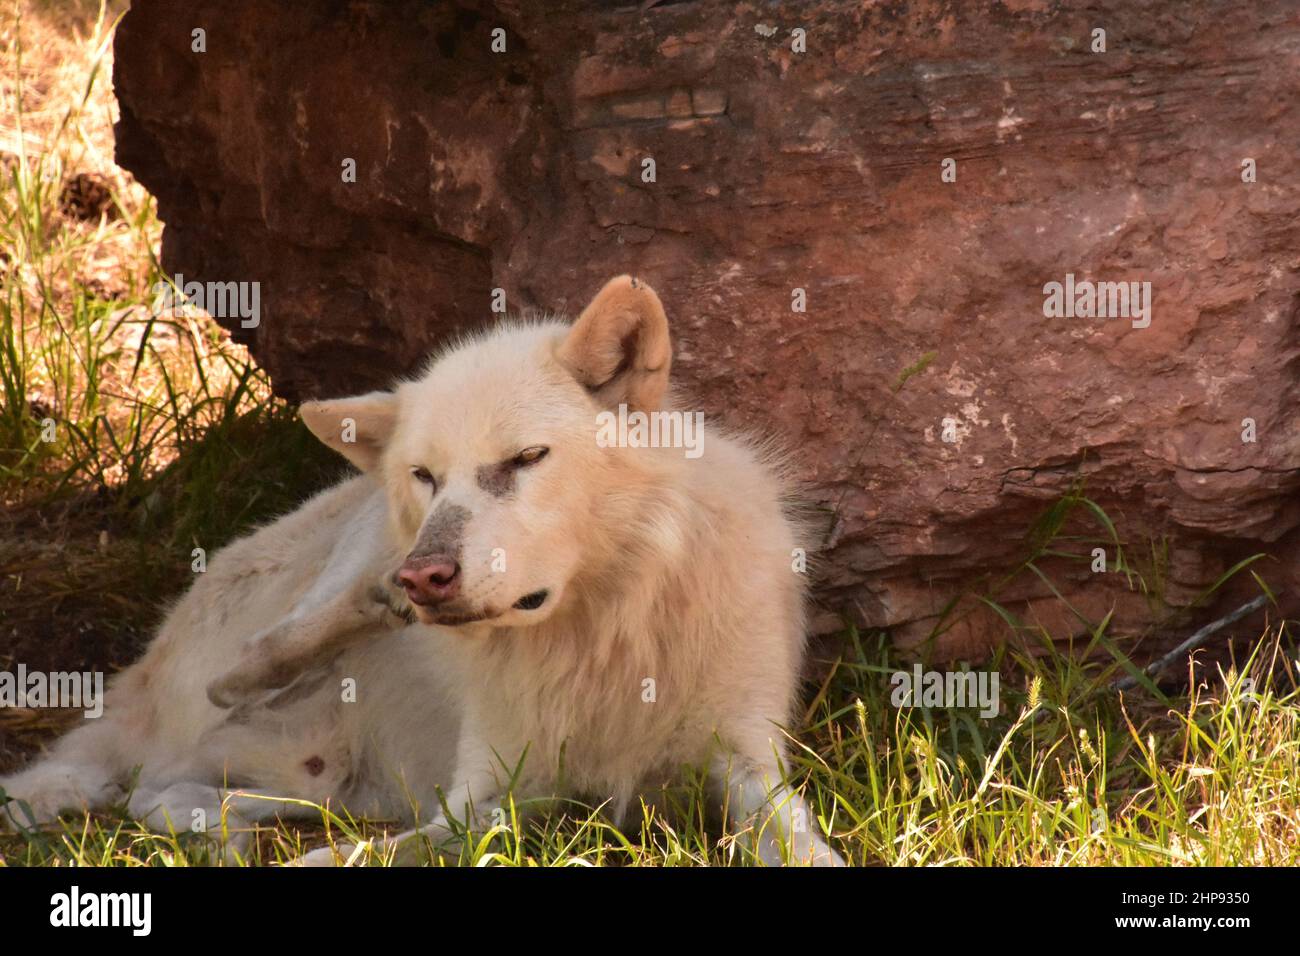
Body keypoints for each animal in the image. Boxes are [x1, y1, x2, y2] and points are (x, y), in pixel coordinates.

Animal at [0, 276, 843, 866]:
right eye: (425, 477)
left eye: (526, 459)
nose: (425, 579)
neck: (601, 632)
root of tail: (139, 683)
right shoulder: (480, 797)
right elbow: (369, 858)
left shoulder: (749, 765)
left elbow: (799, 840)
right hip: (351, 548)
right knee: (247, 666)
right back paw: (351, 622)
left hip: (310, 783)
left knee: (160, 796)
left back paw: (223, 831)